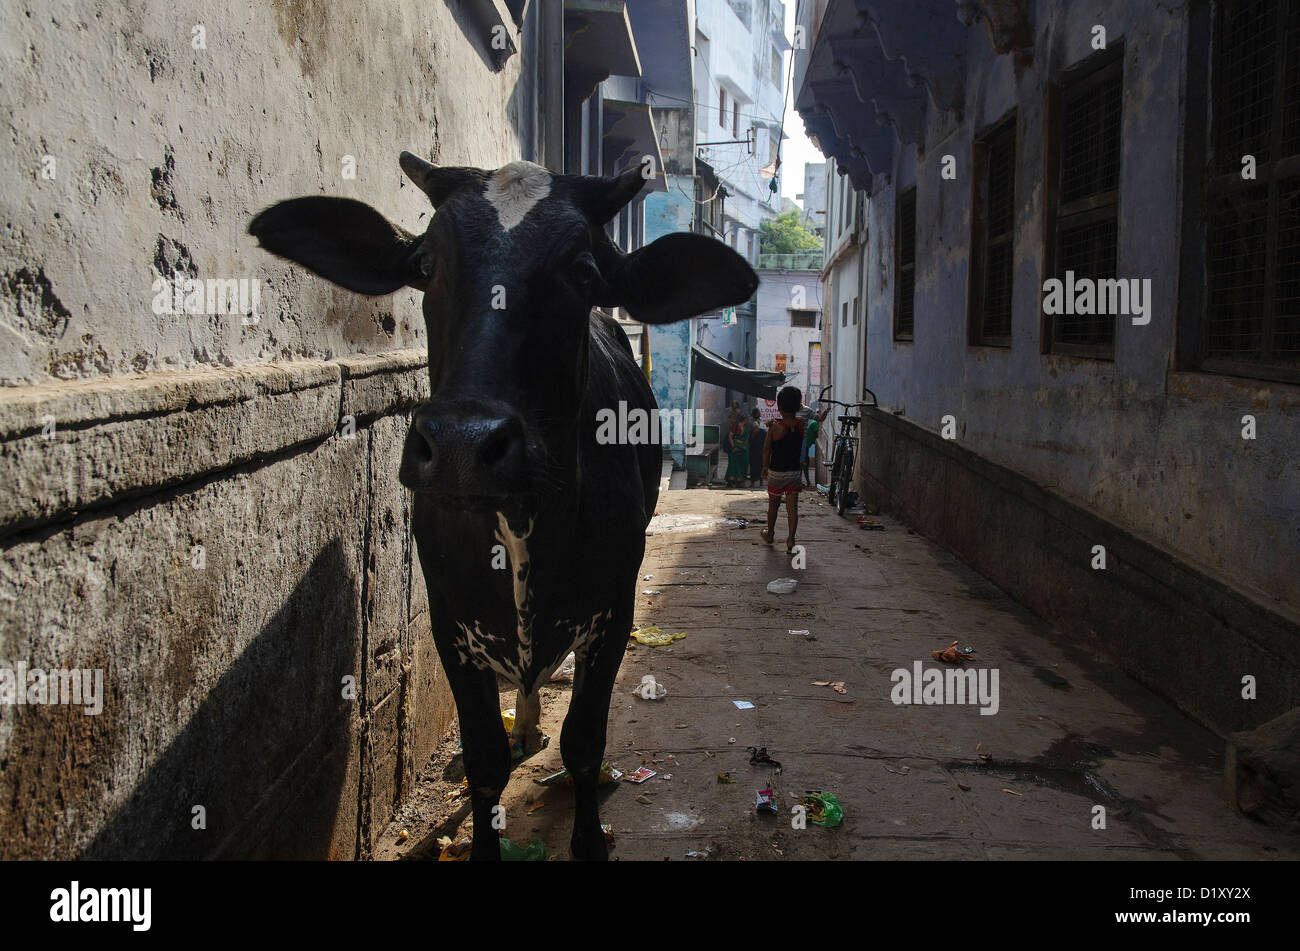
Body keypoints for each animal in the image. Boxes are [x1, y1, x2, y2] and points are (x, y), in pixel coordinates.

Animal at [248, 153, 757, 859]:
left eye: (583, 271)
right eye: (426, 264)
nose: (463, 445)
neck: (518, 525)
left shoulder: (613, 612)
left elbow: (584, 743)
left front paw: (589, 834)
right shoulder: (449, 623)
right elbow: (483, 758)